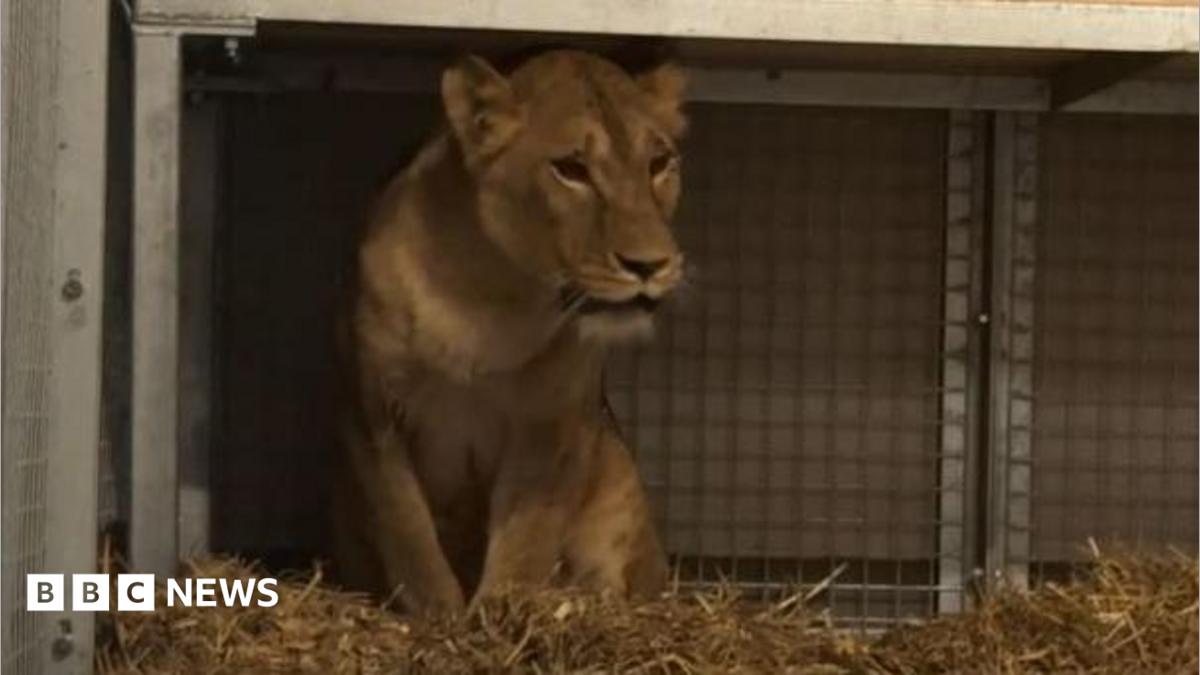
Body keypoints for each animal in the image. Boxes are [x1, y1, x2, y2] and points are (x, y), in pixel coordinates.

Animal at [333, 49, 687, 615]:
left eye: (658, 163)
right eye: (571, 169)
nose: (650, 265)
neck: (494, 296)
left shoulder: (551, 425)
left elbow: (528, 533)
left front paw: (504, 610)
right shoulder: (372, 414)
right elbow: (406, 528)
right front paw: (438, 614)